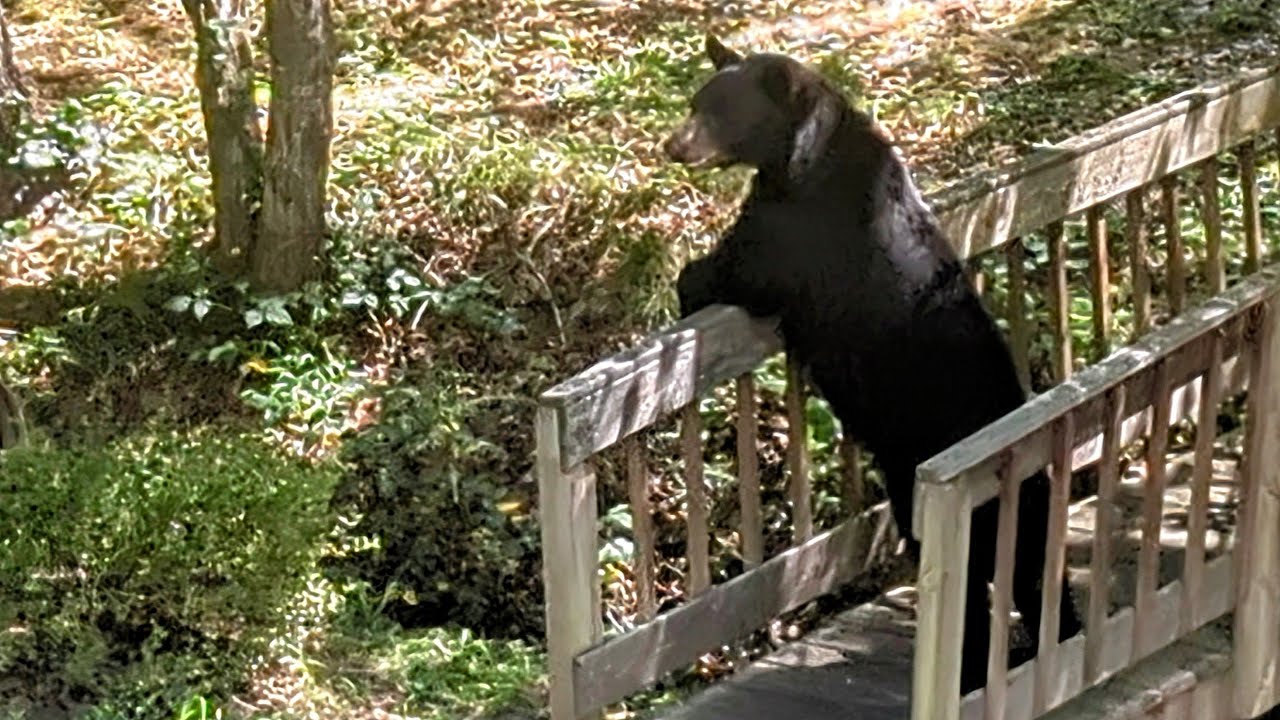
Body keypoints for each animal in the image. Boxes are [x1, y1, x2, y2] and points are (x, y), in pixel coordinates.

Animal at [664, 35, 1082, 695]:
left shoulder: (794, 232)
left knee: (981, 581)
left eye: (719, 110)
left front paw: (690, 281)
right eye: (695, 101)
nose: (674, 145)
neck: (801, 157)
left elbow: (730, 270)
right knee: (1039, 573)